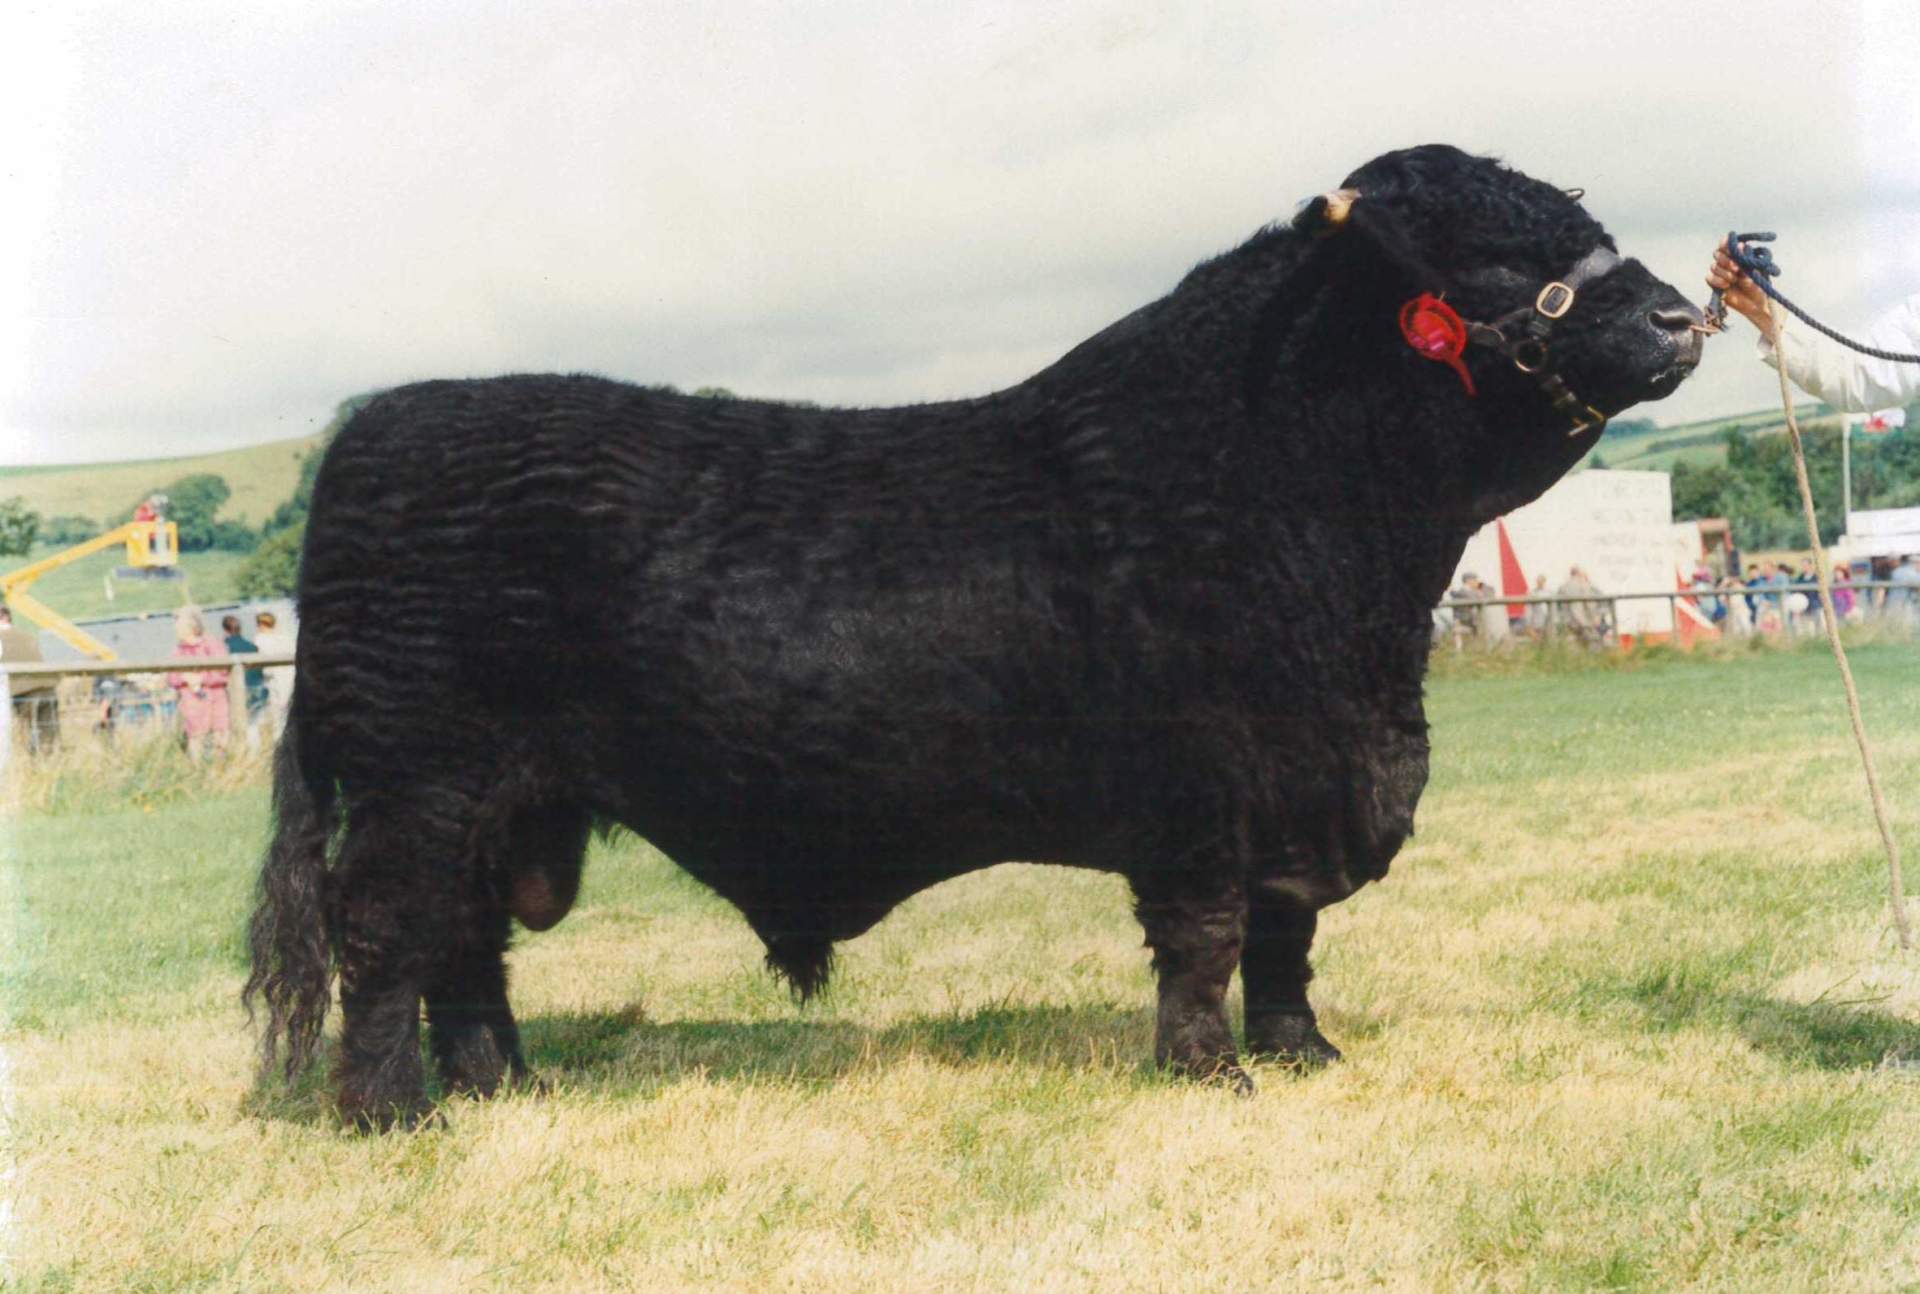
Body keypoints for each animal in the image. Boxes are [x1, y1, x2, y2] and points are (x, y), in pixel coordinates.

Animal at [245, 144, 1702, 1127]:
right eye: (1492, 254)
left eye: (1581, 221)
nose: (1682, 315)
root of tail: (380, 426)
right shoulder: (1200, 793)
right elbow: (1209, 939)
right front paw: (1209, 1070)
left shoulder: (1307, 782)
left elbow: (1286, 940)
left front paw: (1303, 1055)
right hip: (417, 784)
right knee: (388, 936)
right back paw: (393, 1111)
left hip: (496, 800)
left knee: (464, 946)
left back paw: (502, 1087)